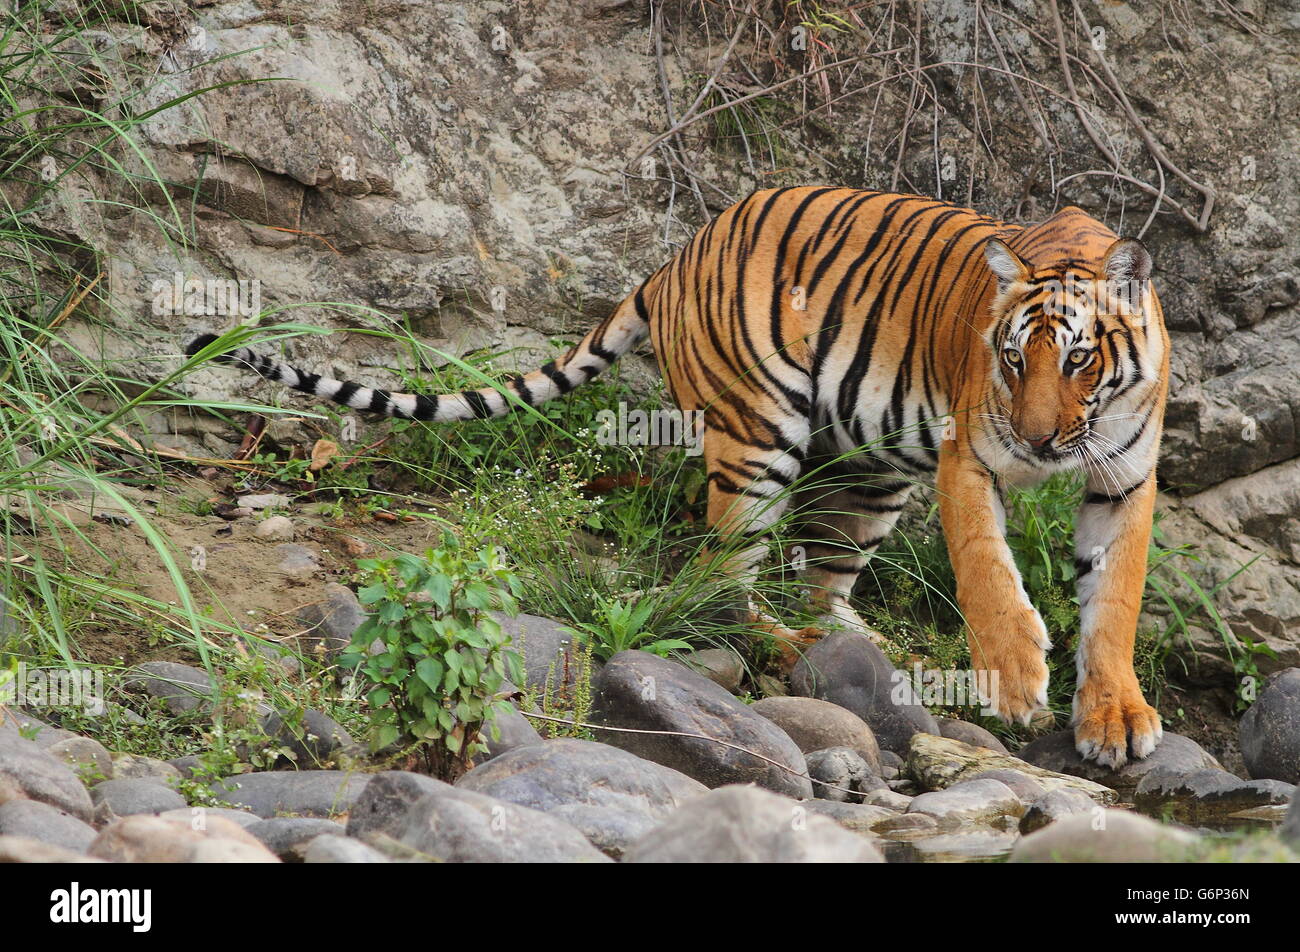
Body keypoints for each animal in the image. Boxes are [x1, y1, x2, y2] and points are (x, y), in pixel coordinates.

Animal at [187, 186, 1169, 768]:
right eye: (1011, 360)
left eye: (1079, 361)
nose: (1036, 439)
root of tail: (676, 255)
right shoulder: (970, 456)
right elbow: (988, 571)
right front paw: (1017, 677)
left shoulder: (1125, 478)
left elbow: (1114, 600)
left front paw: (1113, 718)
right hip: (760, 430)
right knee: (723, 580)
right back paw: (786, 640)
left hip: (874, 470)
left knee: (823, 579)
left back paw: (857, 641)